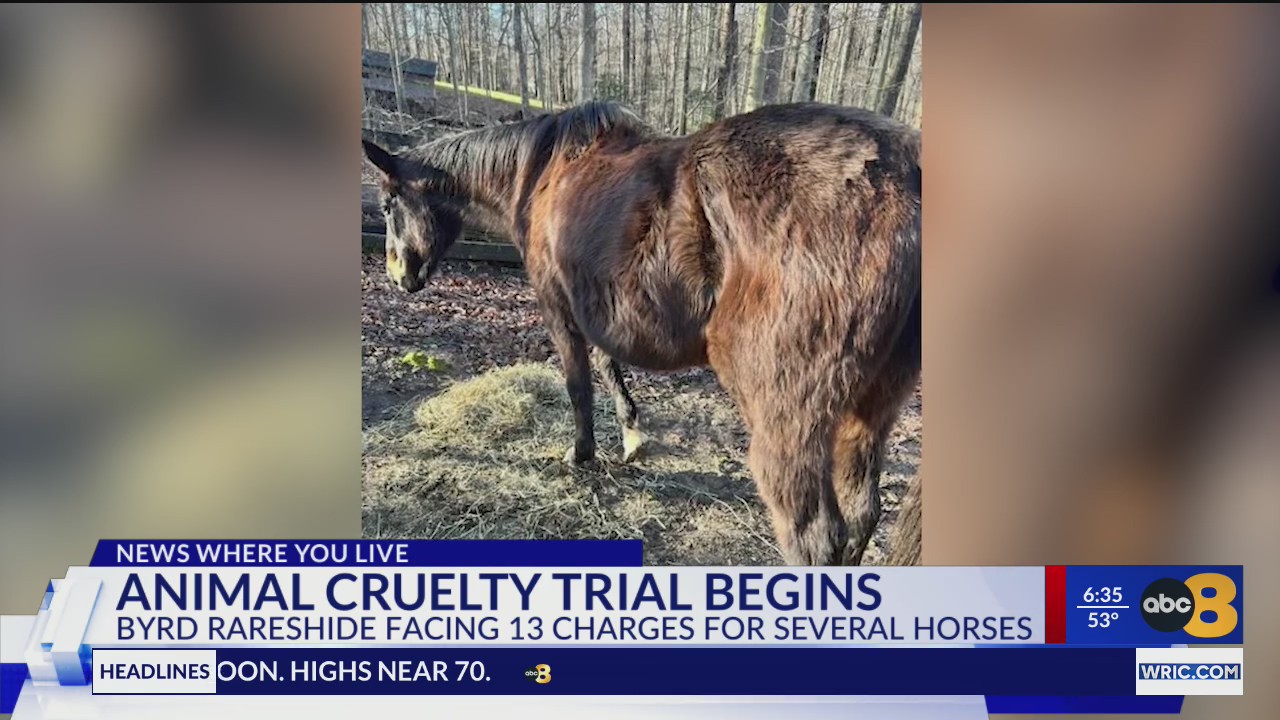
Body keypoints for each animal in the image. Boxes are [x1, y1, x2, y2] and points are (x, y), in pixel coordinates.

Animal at [363, 101, 921, 566]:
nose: (399, 275)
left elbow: (579, 385)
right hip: (872, 407)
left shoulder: (558, 307)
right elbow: (610, 367)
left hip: (789, 421)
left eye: (388, 205)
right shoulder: (597, 304)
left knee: (816, 538)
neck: (541, 172)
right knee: (861, 513)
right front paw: (632, 437)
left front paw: (581, 454)